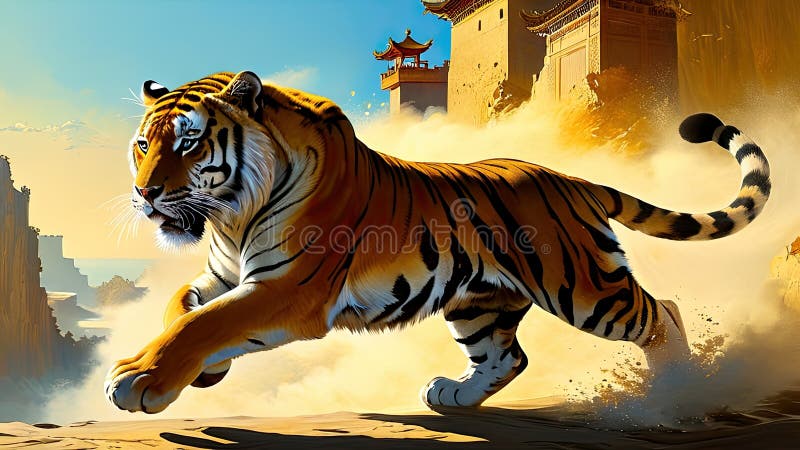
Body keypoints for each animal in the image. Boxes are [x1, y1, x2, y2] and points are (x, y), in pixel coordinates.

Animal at [105, 71, 771, 413]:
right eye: (142, 145)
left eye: (188, 142)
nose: (144, 193)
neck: (231, 217)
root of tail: (570, 179)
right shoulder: (221, 276)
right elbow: (181, 311)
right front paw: (200, 372)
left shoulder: (287, 289)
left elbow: (206, 324)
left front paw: (140, 380)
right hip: (478, 302)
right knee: (508, 356)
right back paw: (453, 395)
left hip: (584, 287)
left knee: (662, 313)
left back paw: (679, 391)